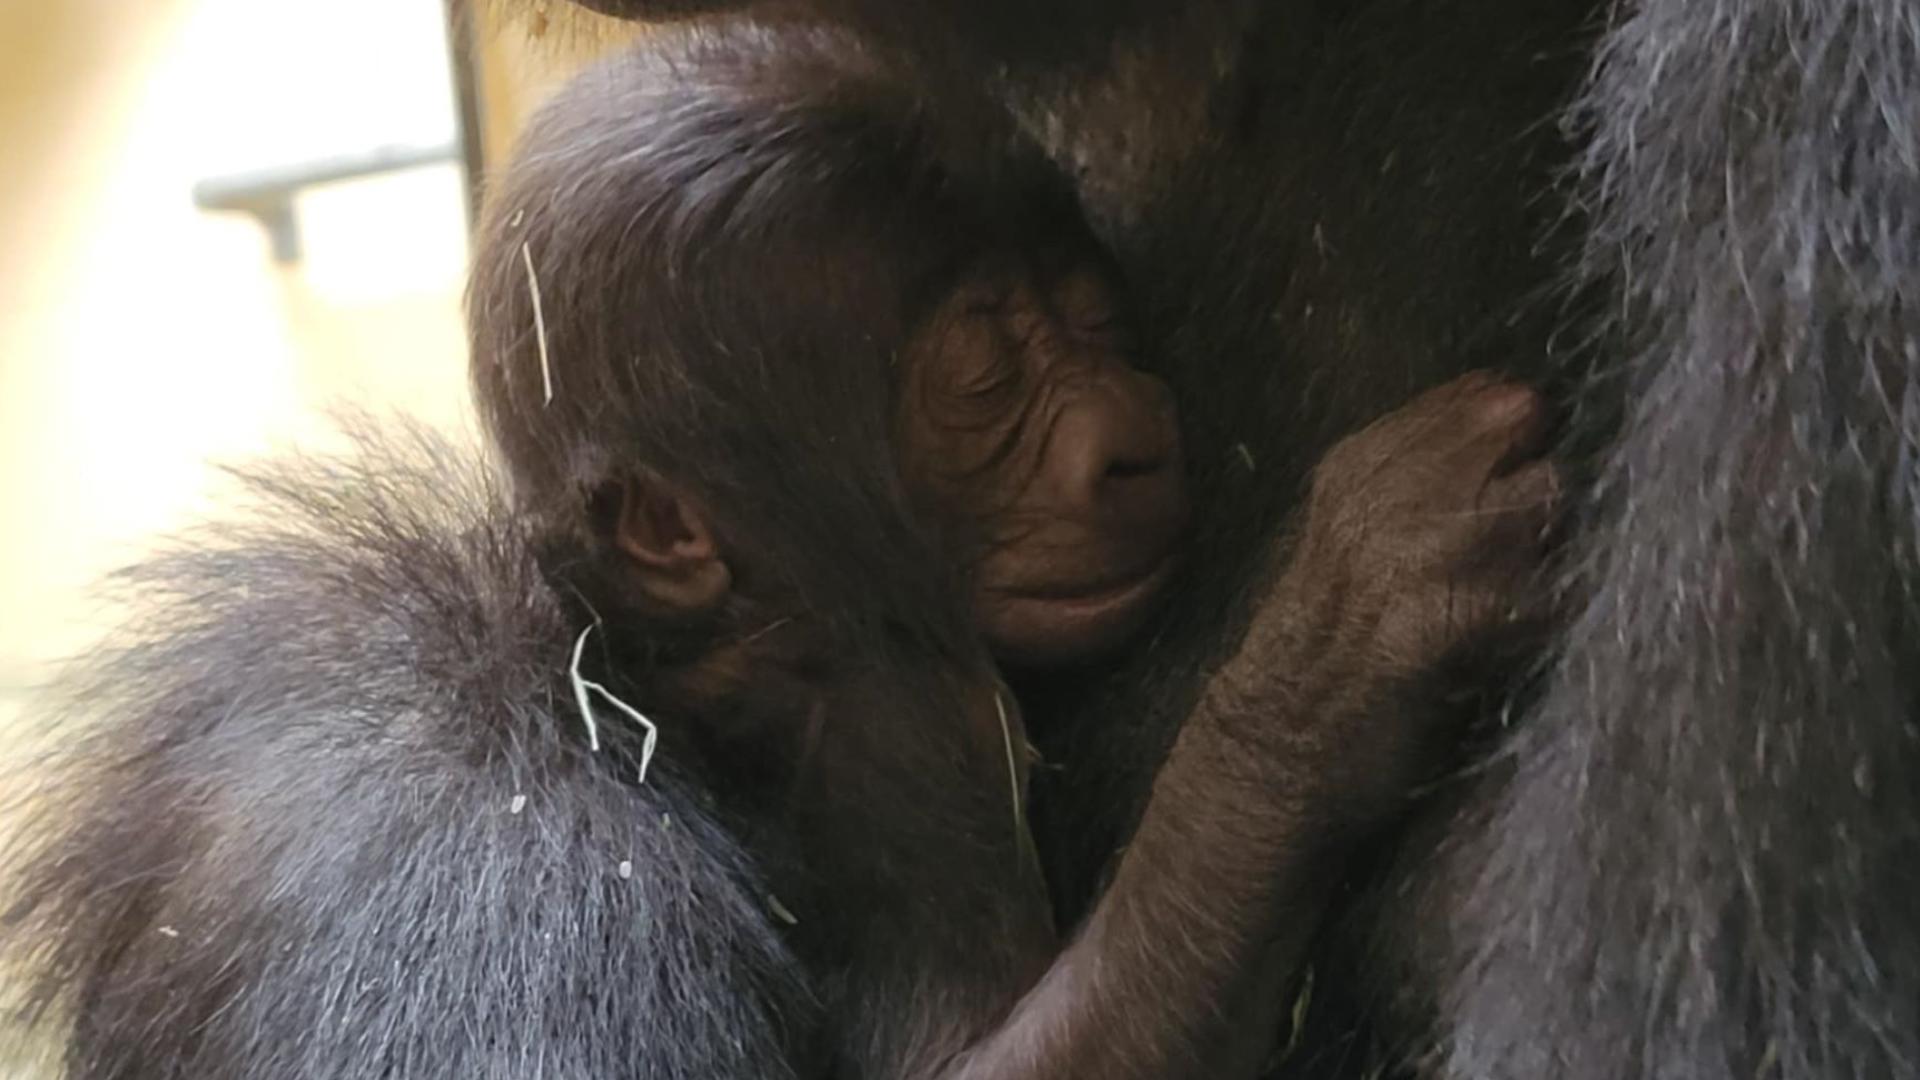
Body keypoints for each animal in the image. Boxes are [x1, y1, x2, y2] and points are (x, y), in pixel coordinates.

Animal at [0, 24, 1564, 1079]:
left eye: (1094, 319)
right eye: (983, 378)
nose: (1133, 439)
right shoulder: (902, 716)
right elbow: (988, 1055)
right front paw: (1328, 661)